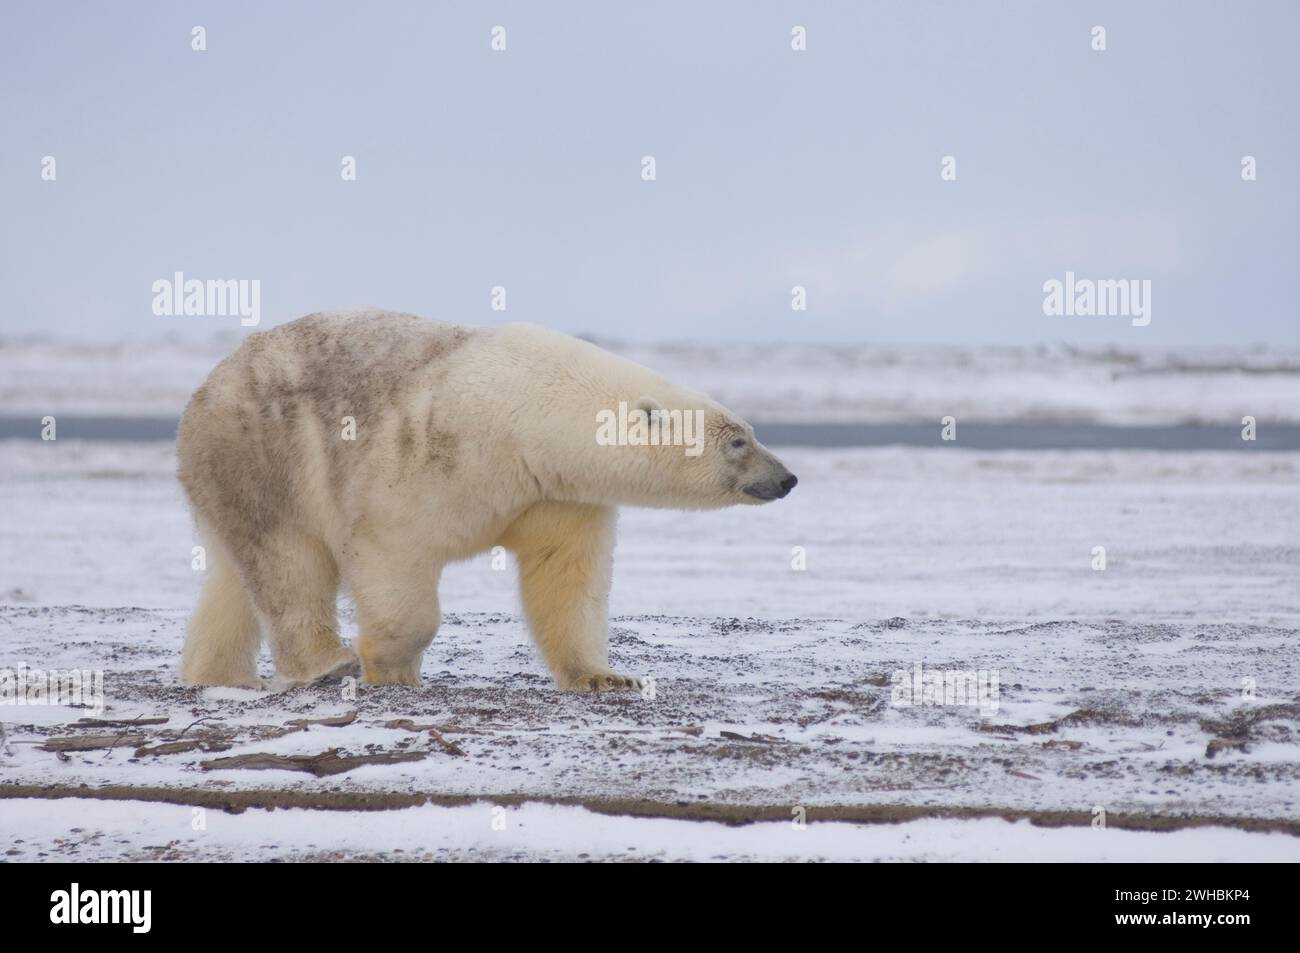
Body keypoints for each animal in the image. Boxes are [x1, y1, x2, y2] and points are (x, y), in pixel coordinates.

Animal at [176, 309, 797, 691]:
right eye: (738, 441)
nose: (787, 478)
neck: (533, 413)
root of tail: (203, 391)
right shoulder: (433, 458)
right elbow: (390, 552)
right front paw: (392, 665)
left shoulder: (556, 493)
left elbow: (566, 577)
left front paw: (605, 676)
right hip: (262, 453)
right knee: (289, 562)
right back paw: (326, 665)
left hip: (226, 476)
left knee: (235, 578)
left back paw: (219, 675)